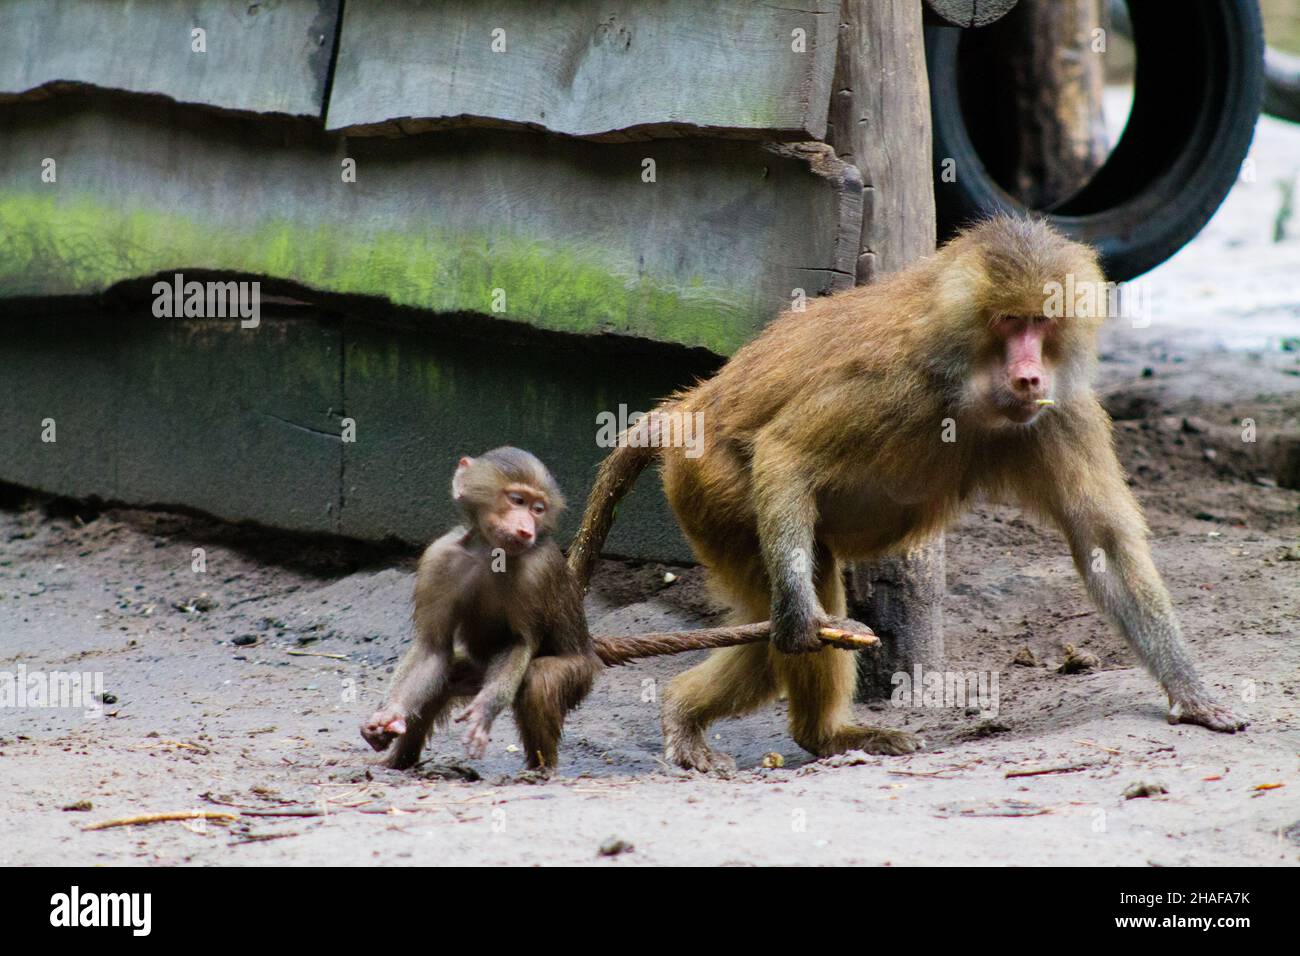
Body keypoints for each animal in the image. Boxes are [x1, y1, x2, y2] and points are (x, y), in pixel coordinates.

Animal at [361, 447, 601, 772]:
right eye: (517, 500)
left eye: (538, 509)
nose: (526, 529)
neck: (491, 552)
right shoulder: (439, 558)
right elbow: (432, 648)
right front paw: (389, 715)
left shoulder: (536, 572)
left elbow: (520, 643)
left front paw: (484, 711)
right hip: (477, 671)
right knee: (443, 679)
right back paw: (398, 762)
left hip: (581, 670)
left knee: (538, 678)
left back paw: (540, 770)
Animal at [570, 215, 1247, 772]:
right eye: (1009, 322)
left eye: (1043, 321)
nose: (1031, 376)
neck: (965, 373)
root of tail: (691, 408)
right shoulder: (894, 382)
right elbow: (786, 454)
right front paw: (801, 616)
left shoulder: (1060, 410)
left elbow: (1103, 541)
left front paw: (1191, 694)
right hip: (713, 486)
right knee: (797, 602)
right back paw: (822, 727)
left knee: (765, 644)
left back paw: (697, 714)